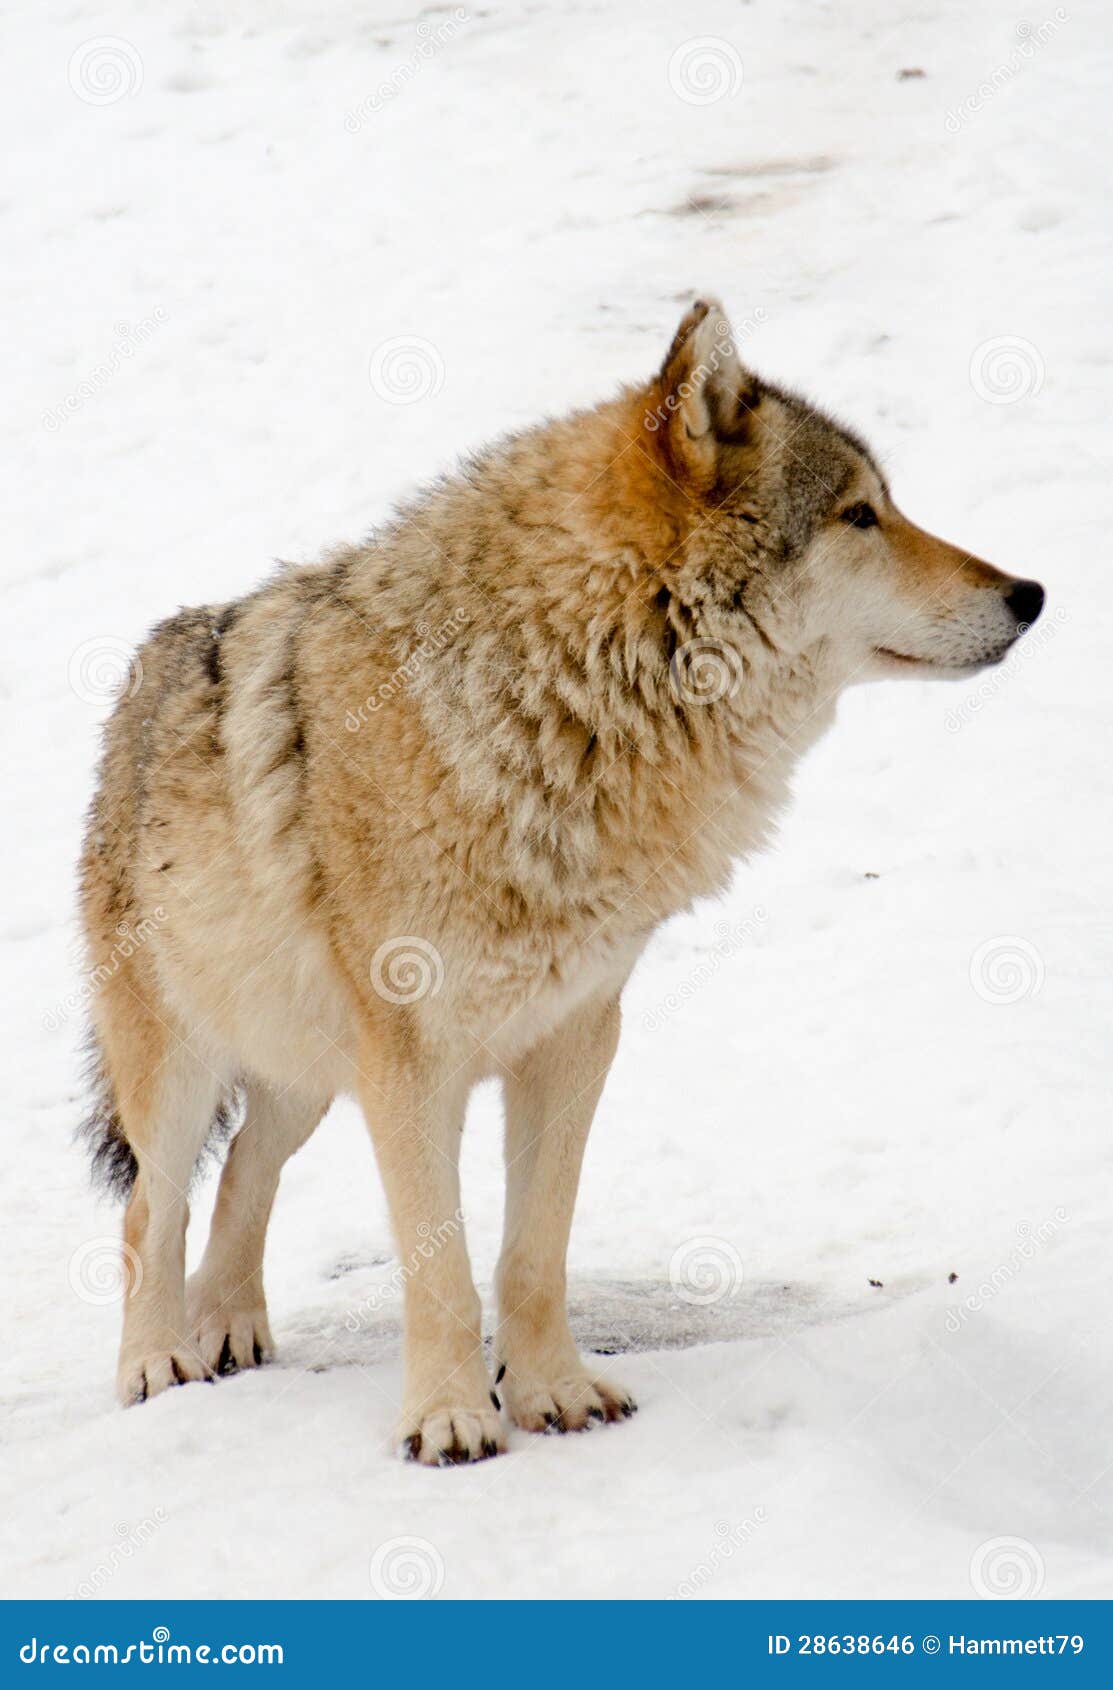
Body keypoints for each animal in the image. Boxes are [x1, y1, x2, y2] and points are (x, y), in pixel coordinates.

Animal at [79, 298, 1044, 1463]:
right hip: (184, 1069)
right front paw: (450, 1419)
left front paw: (552, 1393)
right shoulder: (415, 1067)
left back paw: (229, 1329)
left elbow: (533, 1253)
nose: (1032, 594)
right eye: (860, 514)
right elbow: (441, 1268)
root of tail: (143, 669)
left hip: (305, 1076)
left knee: (242, 1178)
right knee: (153, 1207)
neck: (557, 701)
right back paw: (156, 1363)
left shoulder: (575, 1038)